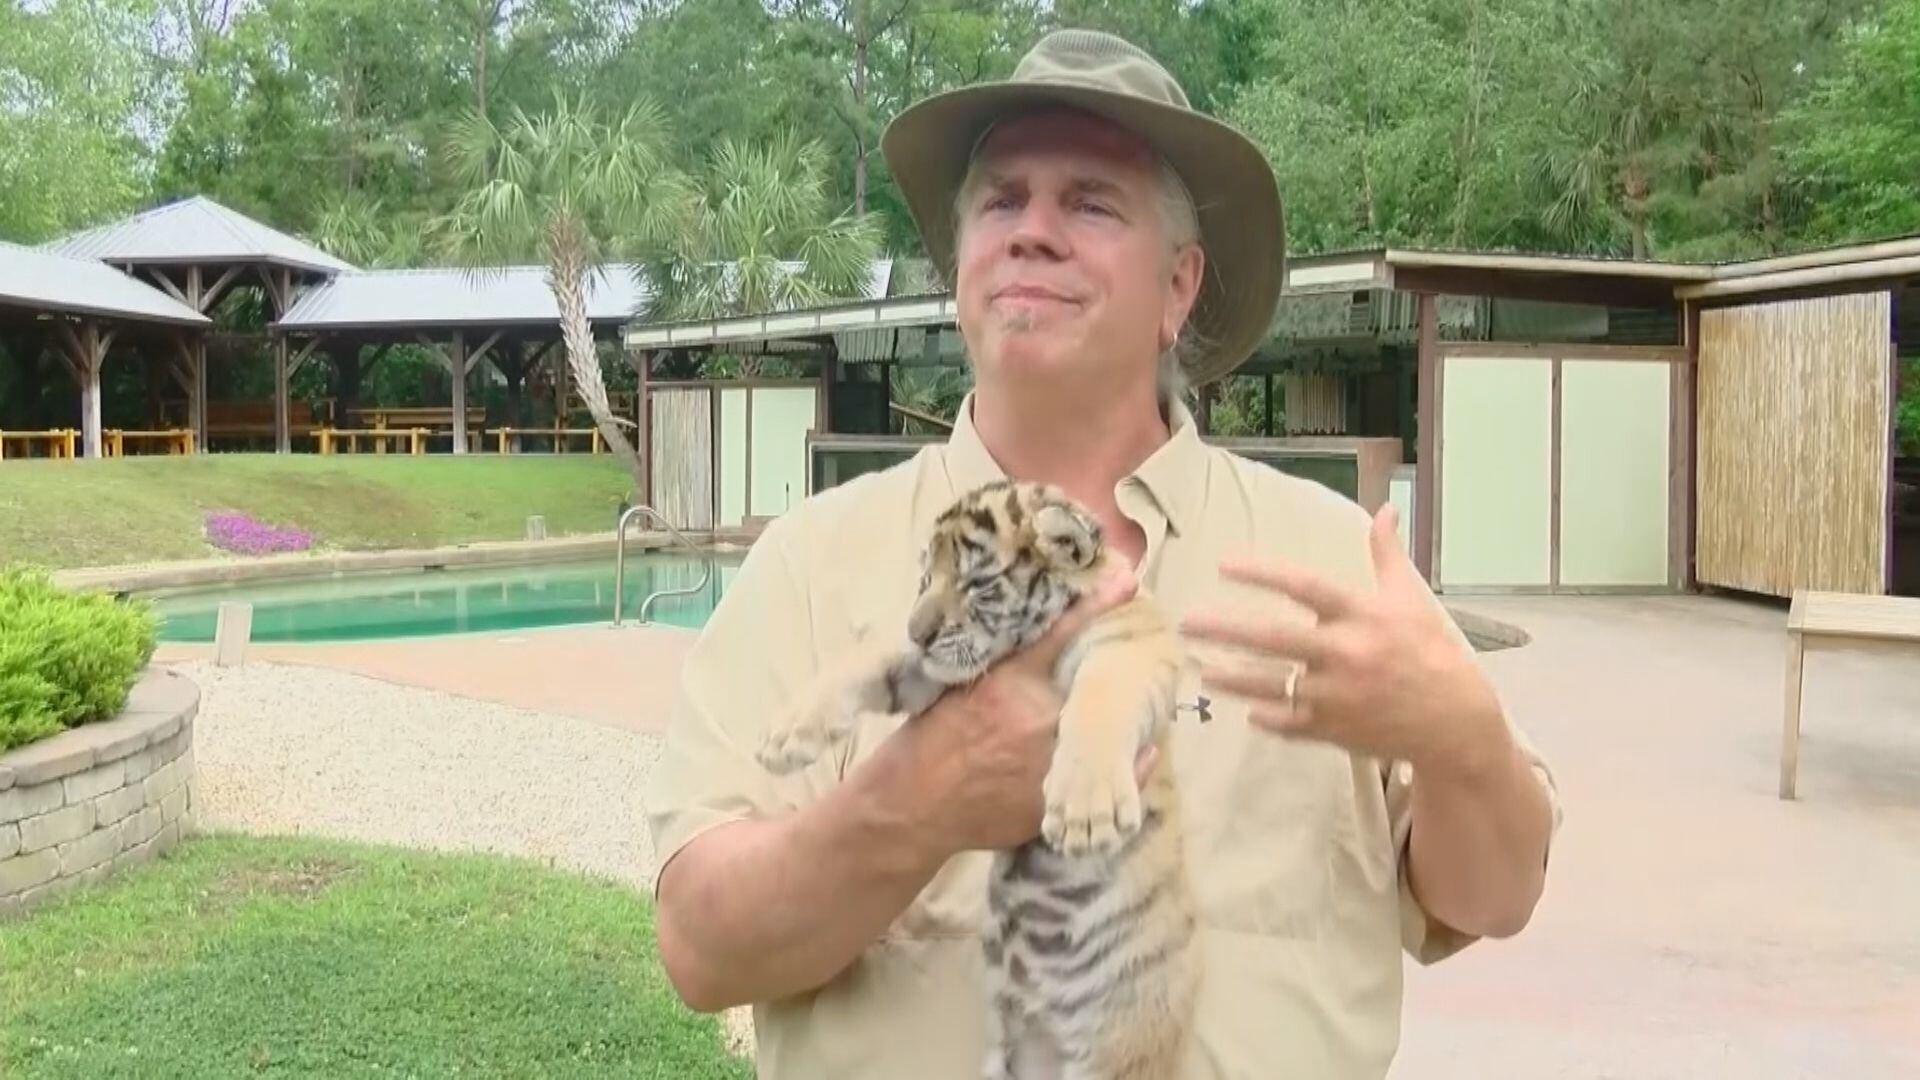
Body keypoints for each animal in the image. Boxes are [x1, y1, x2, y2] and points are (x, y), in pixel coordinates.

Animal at [755, 478, 1199, 1080]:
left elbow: (1102, 697)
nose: (919, 632)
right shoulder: (929, 673)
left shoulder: (1128, 646)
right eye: (926, 578)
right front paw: (785, 733)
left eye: (978, 582)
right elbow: (867, 656)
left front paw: (1084, 812)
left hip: (1116, 1052)